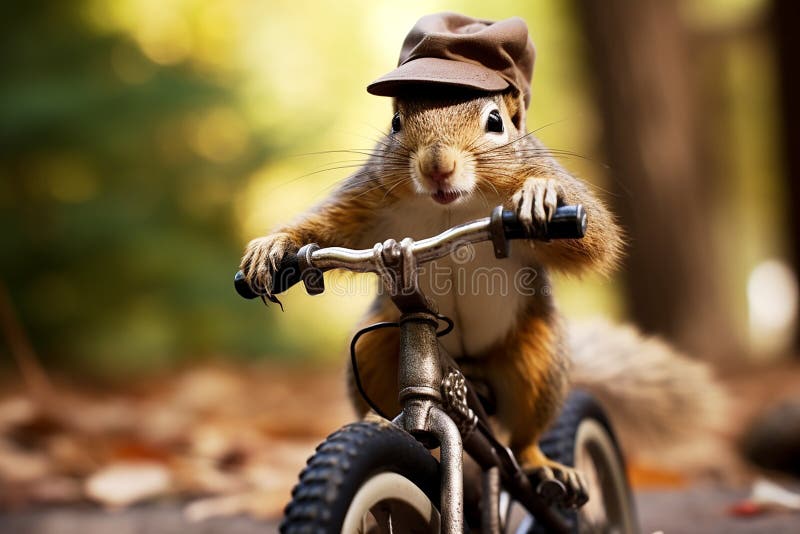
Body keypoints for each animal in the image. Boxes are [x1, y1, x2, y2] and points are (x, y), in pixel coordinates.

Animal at [240, 13, 727, 506]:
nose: (437, 166)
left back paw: (542, 464)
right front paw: (273, 247)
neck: (453, 207)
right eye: (395, 122)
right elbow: (323, 224)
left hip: (536, 356)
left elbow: (599, 240)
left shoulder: (549, 176)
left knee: (524, 437)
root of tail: (470, 369)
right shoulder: (369, 195)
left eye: (495, 121)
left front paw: (540, 195)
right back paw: (376, 421)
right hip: (377, 343)